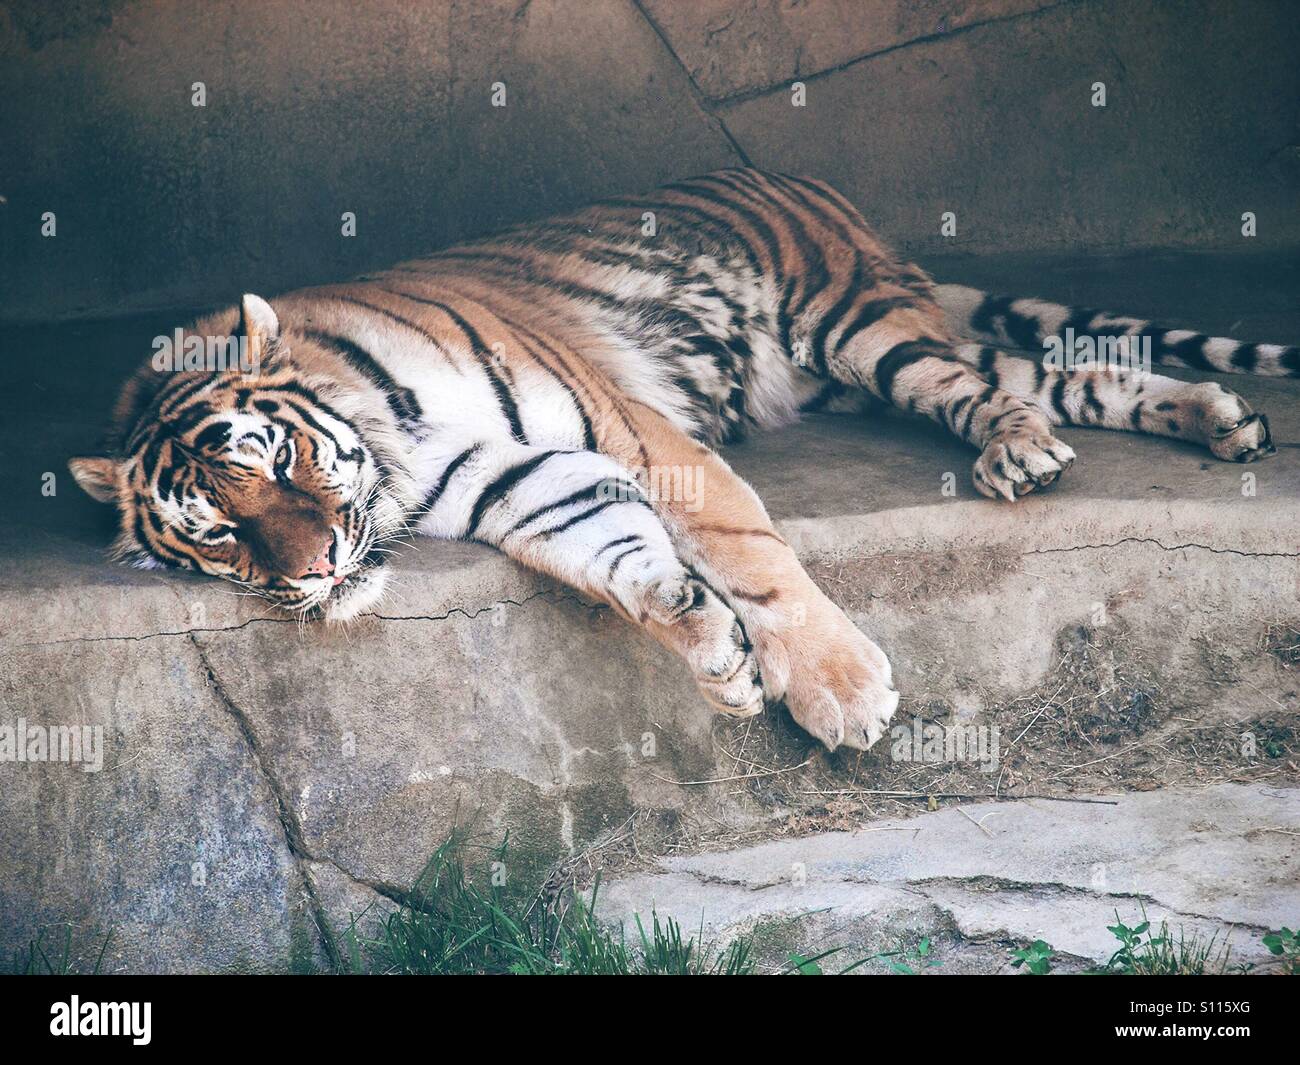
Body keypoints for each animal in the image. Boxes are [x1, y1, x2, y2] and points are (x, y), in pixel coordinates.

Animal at [69, 168, 1294, 752]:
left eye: (277, 464)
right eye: (221, 535)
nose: (318, 570)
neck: (396, 455)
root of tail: (803, 184)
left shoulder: (632, 431)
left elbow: (747, 552)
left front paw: (840, 691)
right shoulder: (523, 478)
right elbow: (620, 555)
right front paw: (710, 649)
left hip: (858, 326)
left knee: (994, 386)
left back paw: (1028, 456)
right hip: (883, 356)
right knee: (1065, 375)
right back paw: (1215, 422)